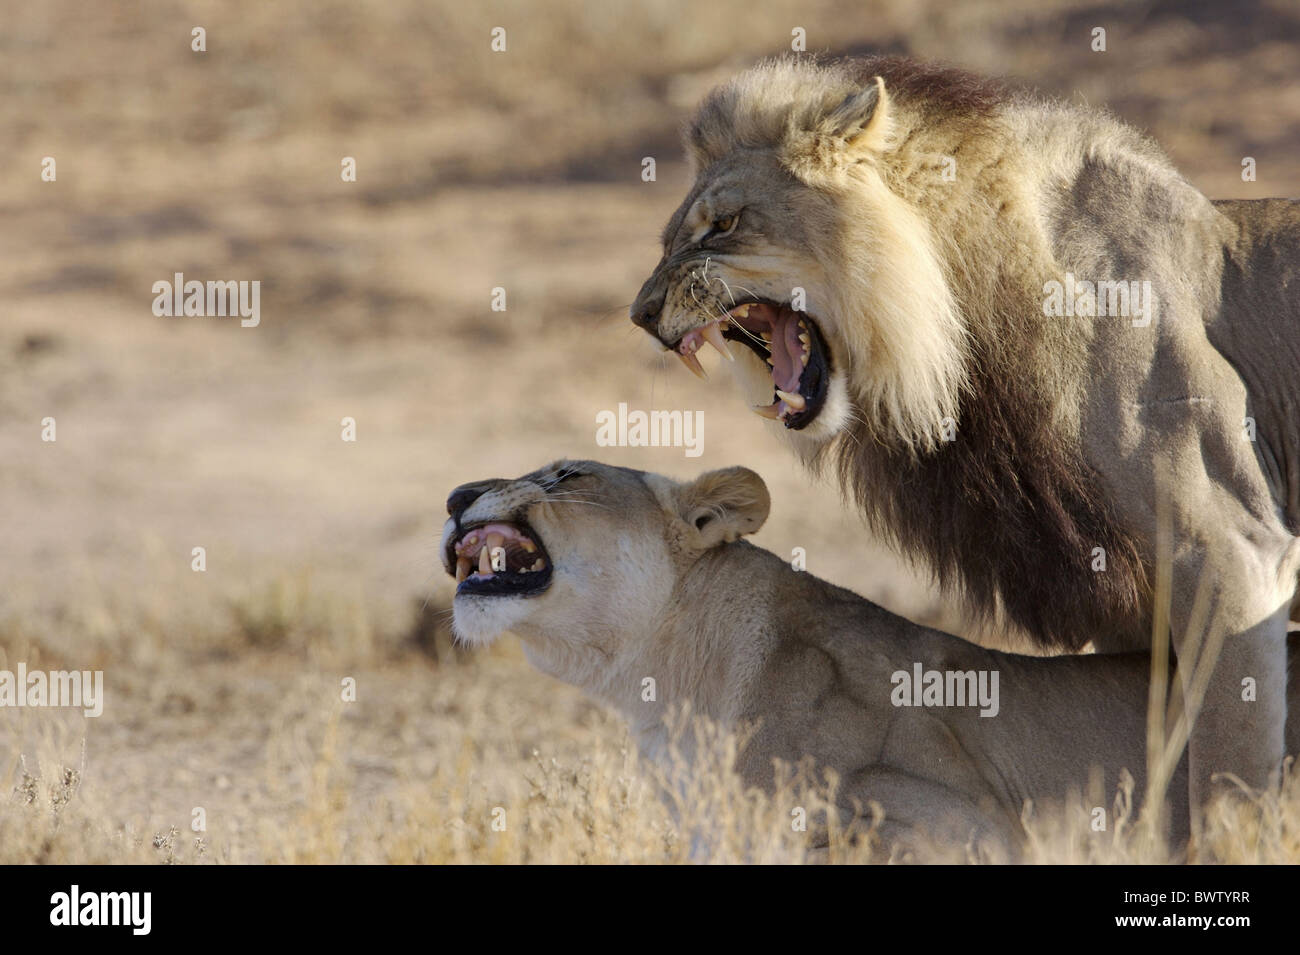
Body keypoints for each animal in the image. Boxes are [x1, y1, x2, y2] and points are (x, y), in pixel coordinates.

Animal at [628, 55, 1300, 822]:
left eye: (724, 224)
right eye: (668, 241)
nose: (641, 314)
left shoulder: (1234, 555)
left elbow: (1227, 781)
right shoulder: (1121, 593)